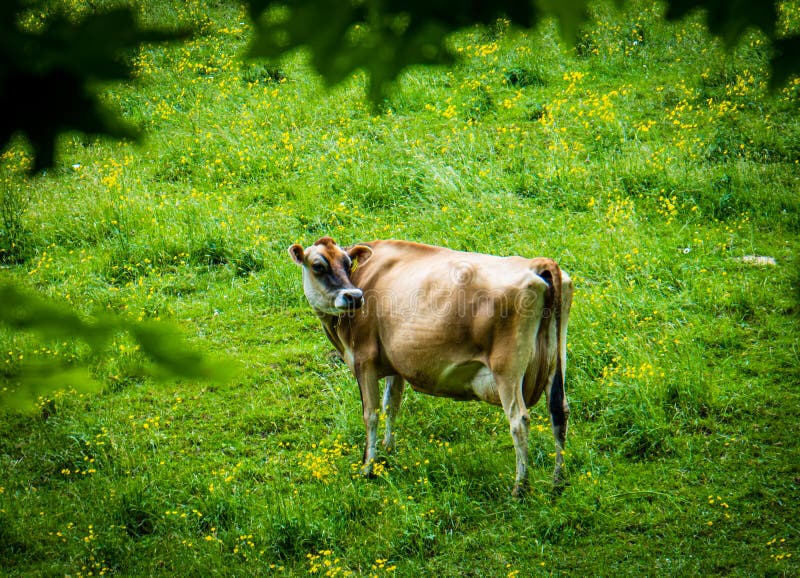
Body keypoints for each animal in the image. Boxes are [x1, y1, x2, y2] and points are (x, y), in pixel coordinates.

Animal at [288, 237, 573, 496]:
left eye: (348, 263)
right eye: (318, 266)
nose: (354, 296)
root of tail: (537, 264)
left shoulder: (364, 359)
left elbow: (371, 413)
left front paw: (368, 467)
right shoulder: (394, 363)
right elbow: (392, 405)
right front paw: (389, 451)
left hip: (507, 367)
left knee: (519, 420)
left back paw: (520, 488)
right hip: (557, 356)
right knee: (559, 410)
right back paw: (558, 482)